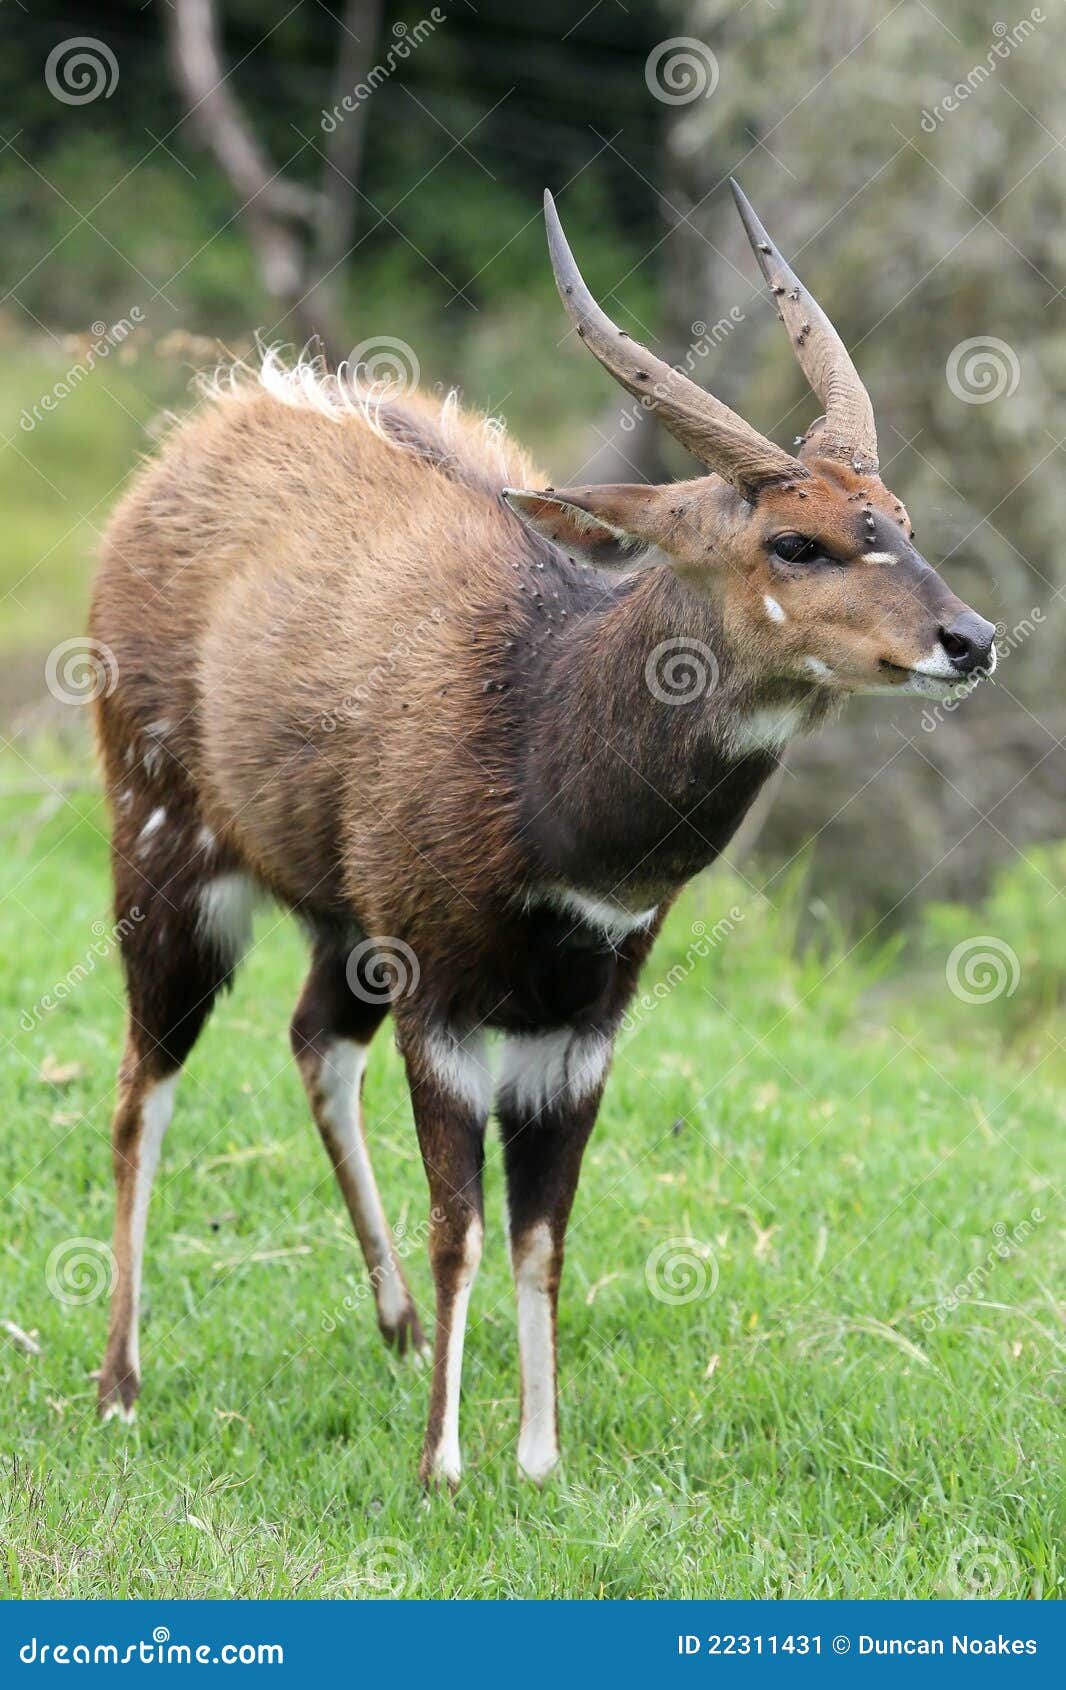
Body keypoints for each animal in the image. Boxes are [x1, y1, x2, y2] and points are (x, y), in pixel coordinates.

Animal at [91, 183, 995, 1487]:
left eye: (900, 520)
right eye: (796, 541)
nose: (970, 639)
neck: (535, 735)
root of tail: (203, 426)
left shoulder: (579, 1022)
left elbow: (543, 1233)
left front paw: (537, 1458)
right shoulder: (443, 996)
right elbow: (463, 1225)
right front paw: (442, 1467)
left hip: (341, 920)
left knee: (311, 1040)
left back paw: (397, 1332)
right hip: (162, 842)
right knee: (143, 1083)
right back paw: (119, 1384)